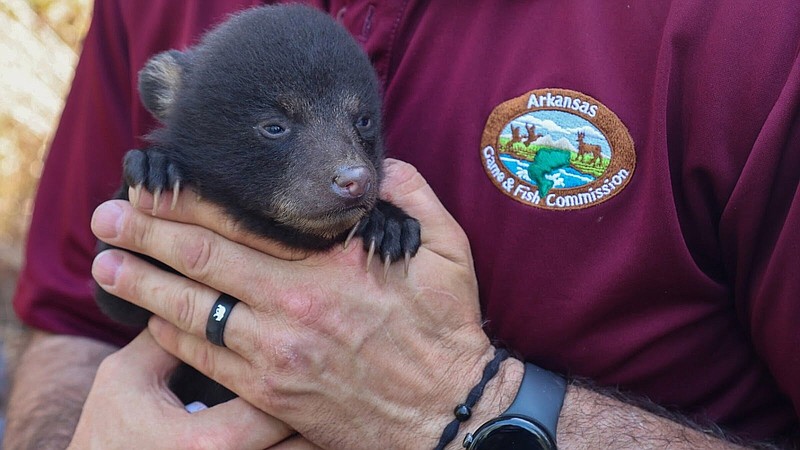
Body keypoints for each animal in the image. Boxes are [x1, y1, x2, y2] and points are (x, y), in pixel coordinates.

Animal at [95, 4, 421, 406]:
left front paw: (391, 226)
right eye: (274, 126)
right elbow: (118, 296)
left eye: (363, 120)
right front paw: (153, 165)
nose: (355, 180)